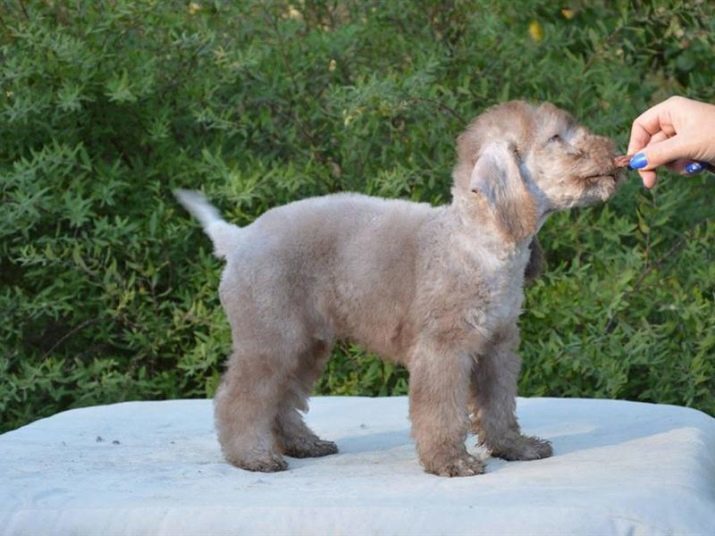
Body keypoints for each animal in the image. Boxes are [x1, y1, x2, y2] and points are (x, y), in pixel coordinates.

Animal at [176, 100, 624, 478]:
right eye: (556, 139)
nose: (615, 149)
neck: (475, 238)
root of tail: (238, 238)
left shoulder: (497, 347)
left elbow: (499, 406)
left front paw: (515, 448)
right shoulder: (444, 349)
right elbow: (441, 411)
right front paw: (451, 462)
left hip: (306, 341)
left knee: (283, 398)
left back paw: (304, 443)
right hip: (270, 336)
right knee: (240, 398)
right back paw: (252, 456)